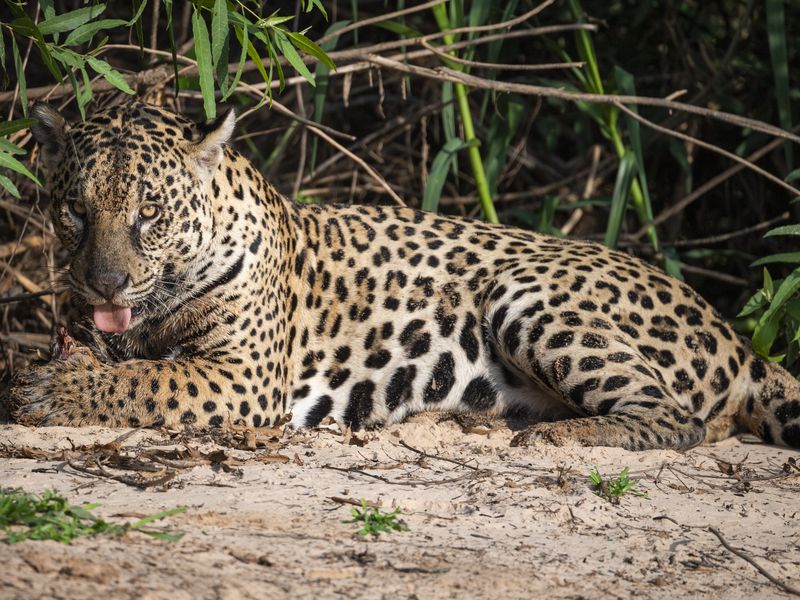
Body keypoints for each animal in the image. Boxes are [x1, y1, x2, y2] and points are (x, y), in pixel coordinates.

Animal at [8, 100, 800, 451]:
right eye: (75, 211)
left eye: (150, 212)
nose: (105, 284)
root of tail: (737, 340)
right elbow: (125, 363)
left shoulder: (242, 375)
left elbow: (146, 380)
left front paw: (53, 391)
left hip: (529, 294)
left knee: (673, 417)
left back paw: (565, 436)